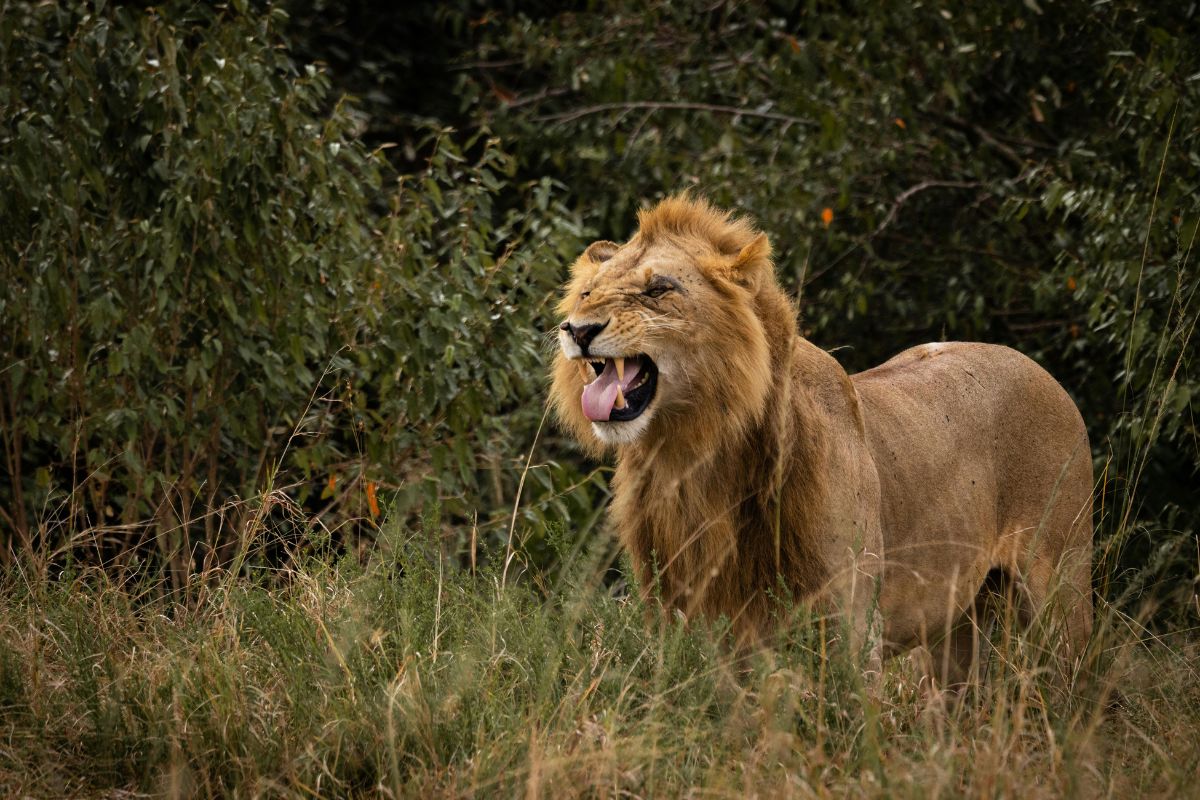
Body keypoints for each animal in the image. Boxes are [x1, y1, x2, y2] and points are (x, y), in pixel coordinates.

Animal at [550, 195, 1093, 682]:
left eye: (658, 289)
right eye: (587, 293)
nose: (577, 330)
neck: (692, 453)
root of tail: (1042, 372)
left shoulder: (852, 623)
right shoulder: (684, 619)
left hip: (1061, 591)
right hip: (956, 628)